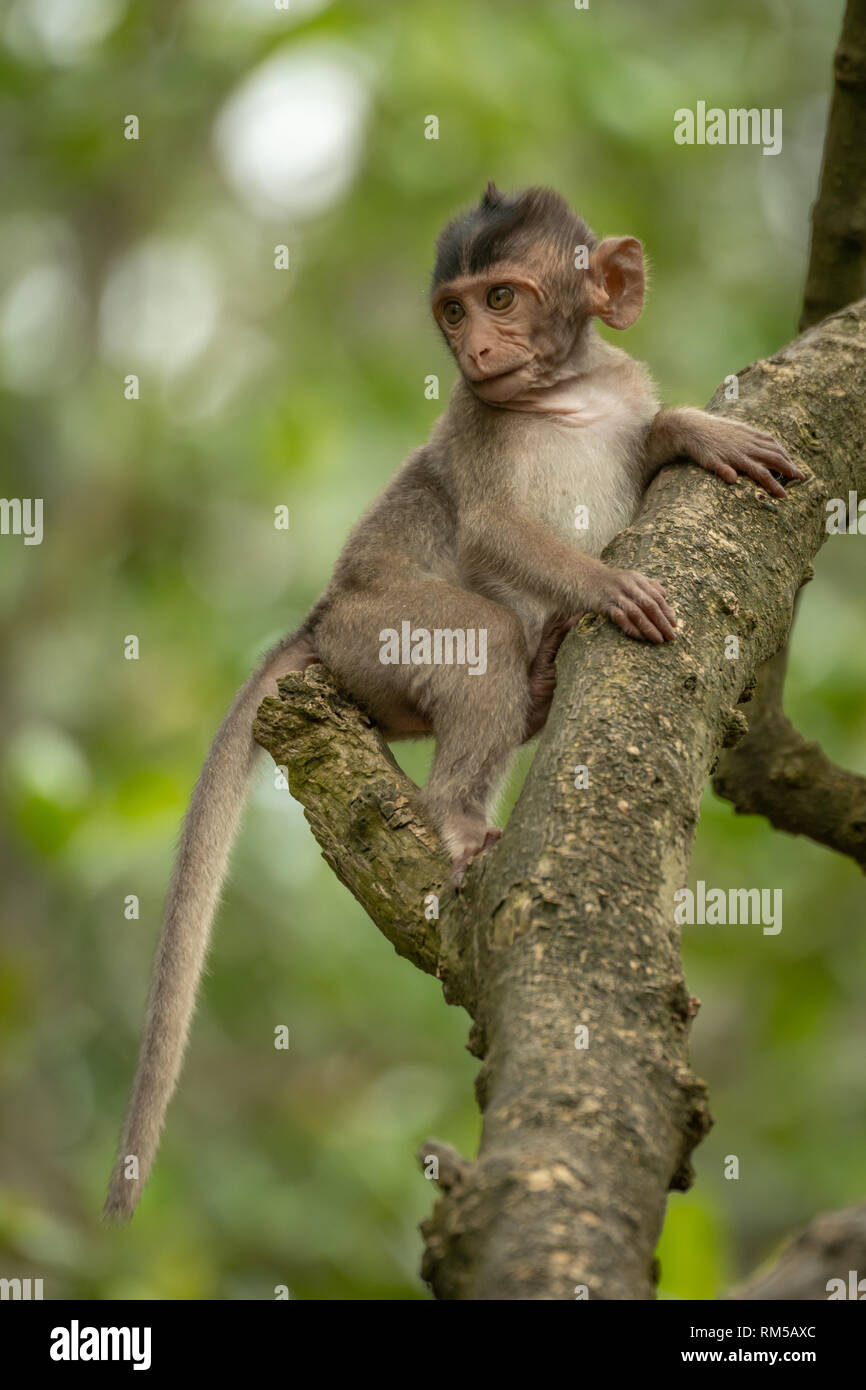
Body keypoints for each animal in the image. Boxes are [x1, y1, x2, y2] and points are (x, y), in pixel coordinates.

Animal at [103, 183, 803, 1222]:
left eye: (502, 298)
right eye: (454, 312)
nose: (476, 349)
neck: (562, 394)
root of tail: (319, 617)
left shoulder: (617, 380)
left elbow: (644, 442)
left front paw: (694, 431)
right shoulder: (474, 428)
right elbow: (493, 528)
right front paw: (604, 585)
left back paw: (545, 683)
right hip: (378, 631)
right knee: (481, 645)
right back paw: (460, 815)